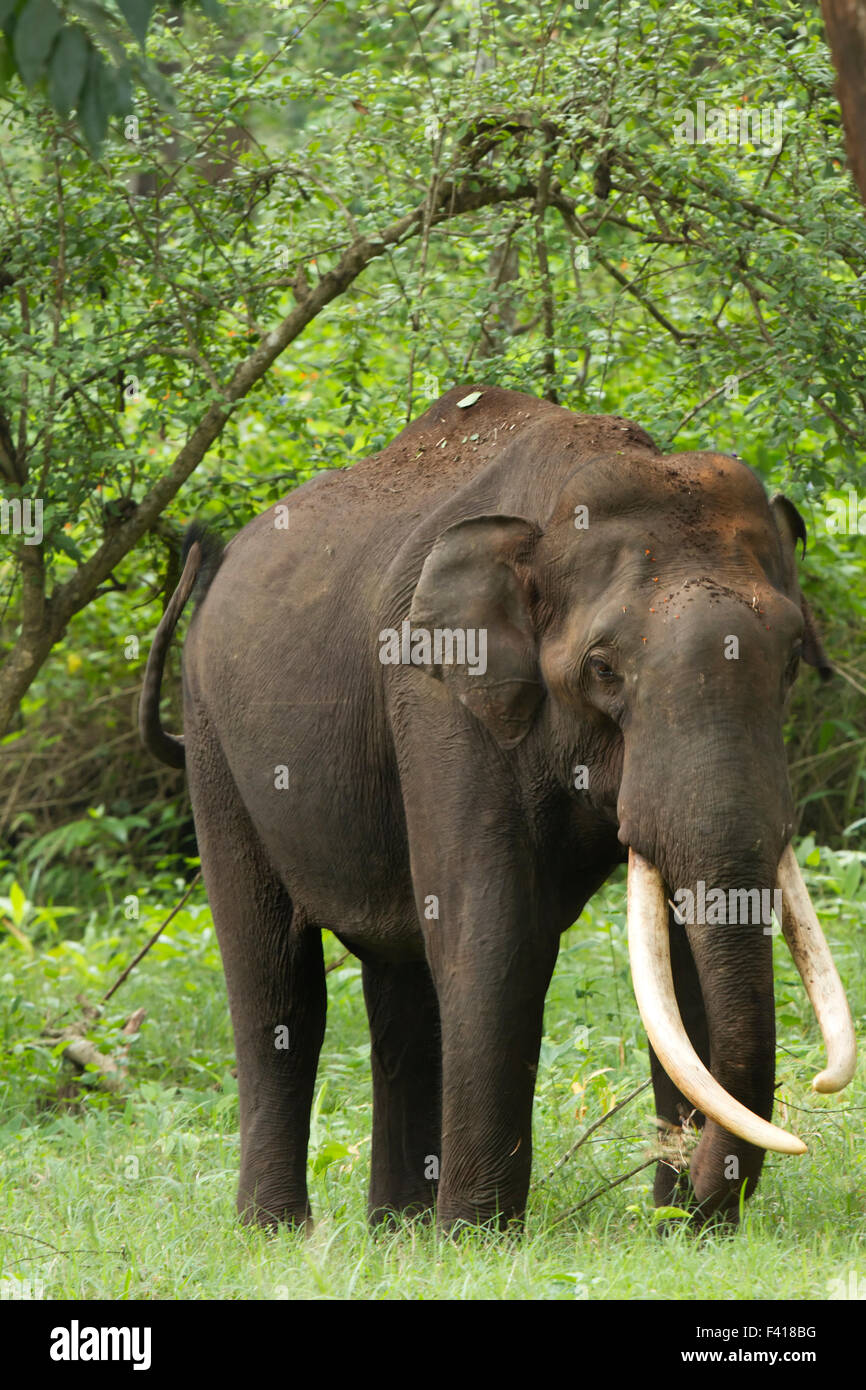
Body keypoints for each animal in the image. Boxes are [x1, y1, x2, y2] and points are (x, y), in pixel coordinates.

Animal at [140, 384, 856, 1232]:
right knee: (277, 984)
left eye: (792, 657)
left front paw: (685, 1232)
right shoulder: (437, 700)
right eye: (602, 668)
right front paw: (476, 1239)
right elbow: (496, 932)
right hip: (214, 741)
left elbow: (675, 959)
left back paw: (396, 1231)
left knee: (401, 986)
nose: (694, 1199)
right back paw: (280, 1231)